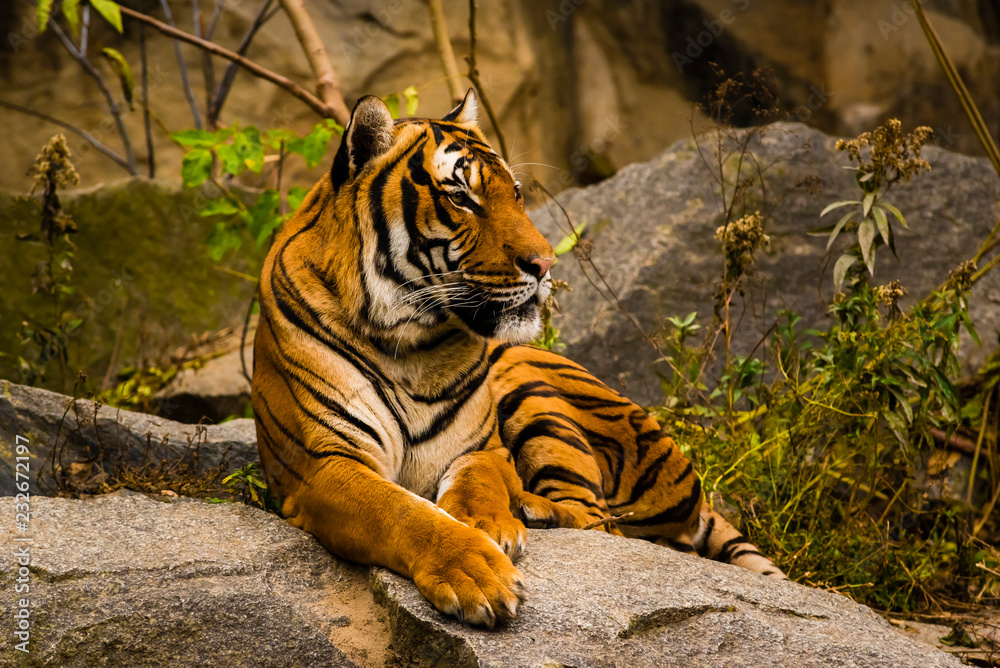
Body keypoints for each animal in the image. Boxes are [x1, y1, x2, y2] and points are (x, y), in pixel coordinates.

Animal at [251, 88, 785, 629]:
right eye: (460, 197)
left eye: (517, 193)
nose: (546, 264)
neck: (411, 344)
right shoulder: (323, 466)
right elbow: (402, 512)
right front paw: (476, 572)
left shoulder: (483, 447)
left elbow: (480, 478)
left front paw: (488, 522)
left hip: (526, 384)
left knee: (602, 520)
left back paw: (529, 507)